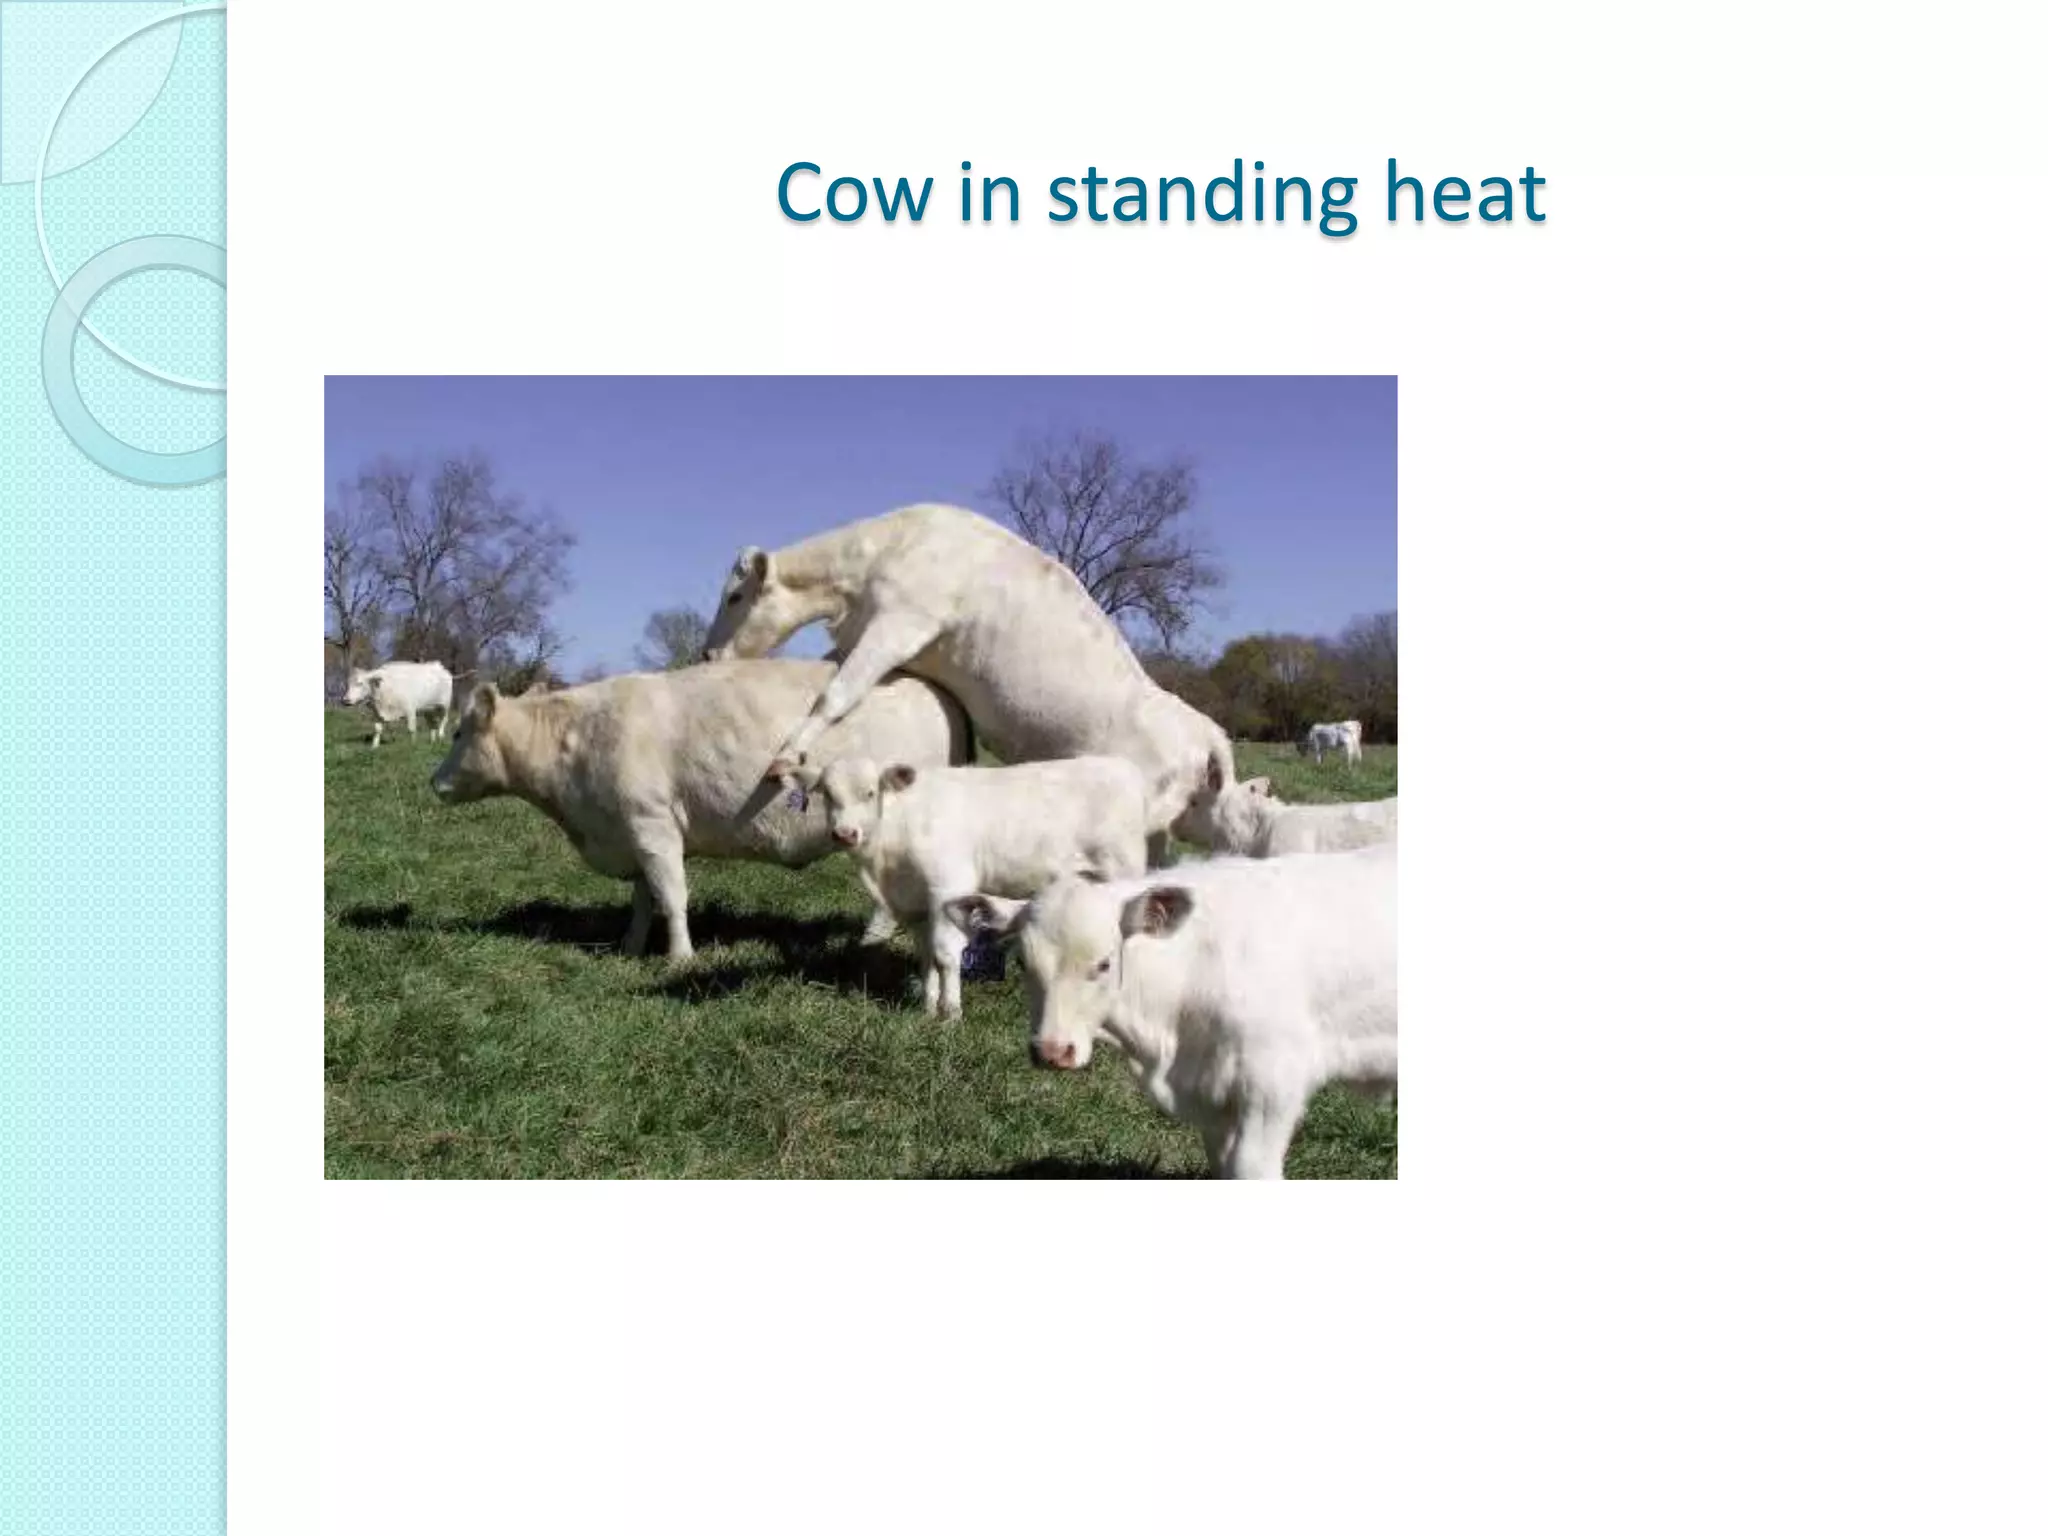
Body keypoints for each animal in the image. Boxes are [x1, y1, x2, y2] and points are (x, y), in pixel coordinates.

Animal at [427, 660, 973, 965]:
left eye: (457, 733)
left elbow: (672, 897)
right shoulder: (633, 832)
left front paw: (681, 958)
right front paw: (630, 947)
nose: (433, 782)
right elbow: (644, 899)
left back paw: (872, 943)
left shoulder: (653, 825)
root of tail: (939, 693)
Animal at [698, 503, 1235, 864]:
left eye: (735, 596)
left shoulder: (901, 623)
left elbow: (837, 694)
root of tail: (1206, 731)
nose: (706, 655)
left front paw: (786, 757)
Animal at [801, 754, 1147, 1021]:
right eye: (827, 794)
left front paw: (951, 1012)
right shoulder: (918, 904)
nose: (845, 834)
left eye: (871, 793)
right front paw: (928, 1009)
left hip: (1123, 871)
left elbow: (945, 954)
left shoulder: (949, 886)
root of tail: (1121, 767)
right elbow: (926, 956)